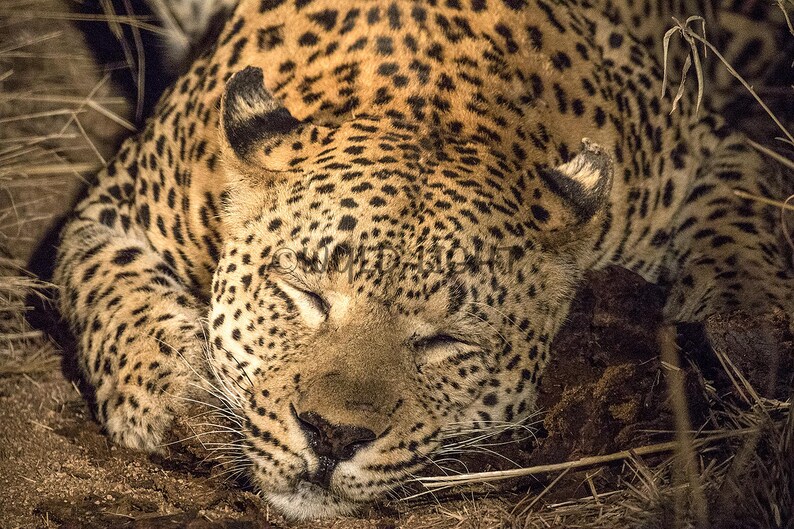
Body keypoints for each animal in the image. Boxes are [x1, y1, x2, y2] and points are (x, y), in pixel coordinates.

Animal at [53, 0, 793, 520]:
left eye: (444, 341)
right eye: (304, 294)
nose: (332, 436)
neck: (438, 105)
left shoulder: (712, 150)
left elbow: (745, 232)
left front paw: (748, 336)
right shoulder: (111, 214)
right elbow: (121, 308)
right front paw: (184, 402)